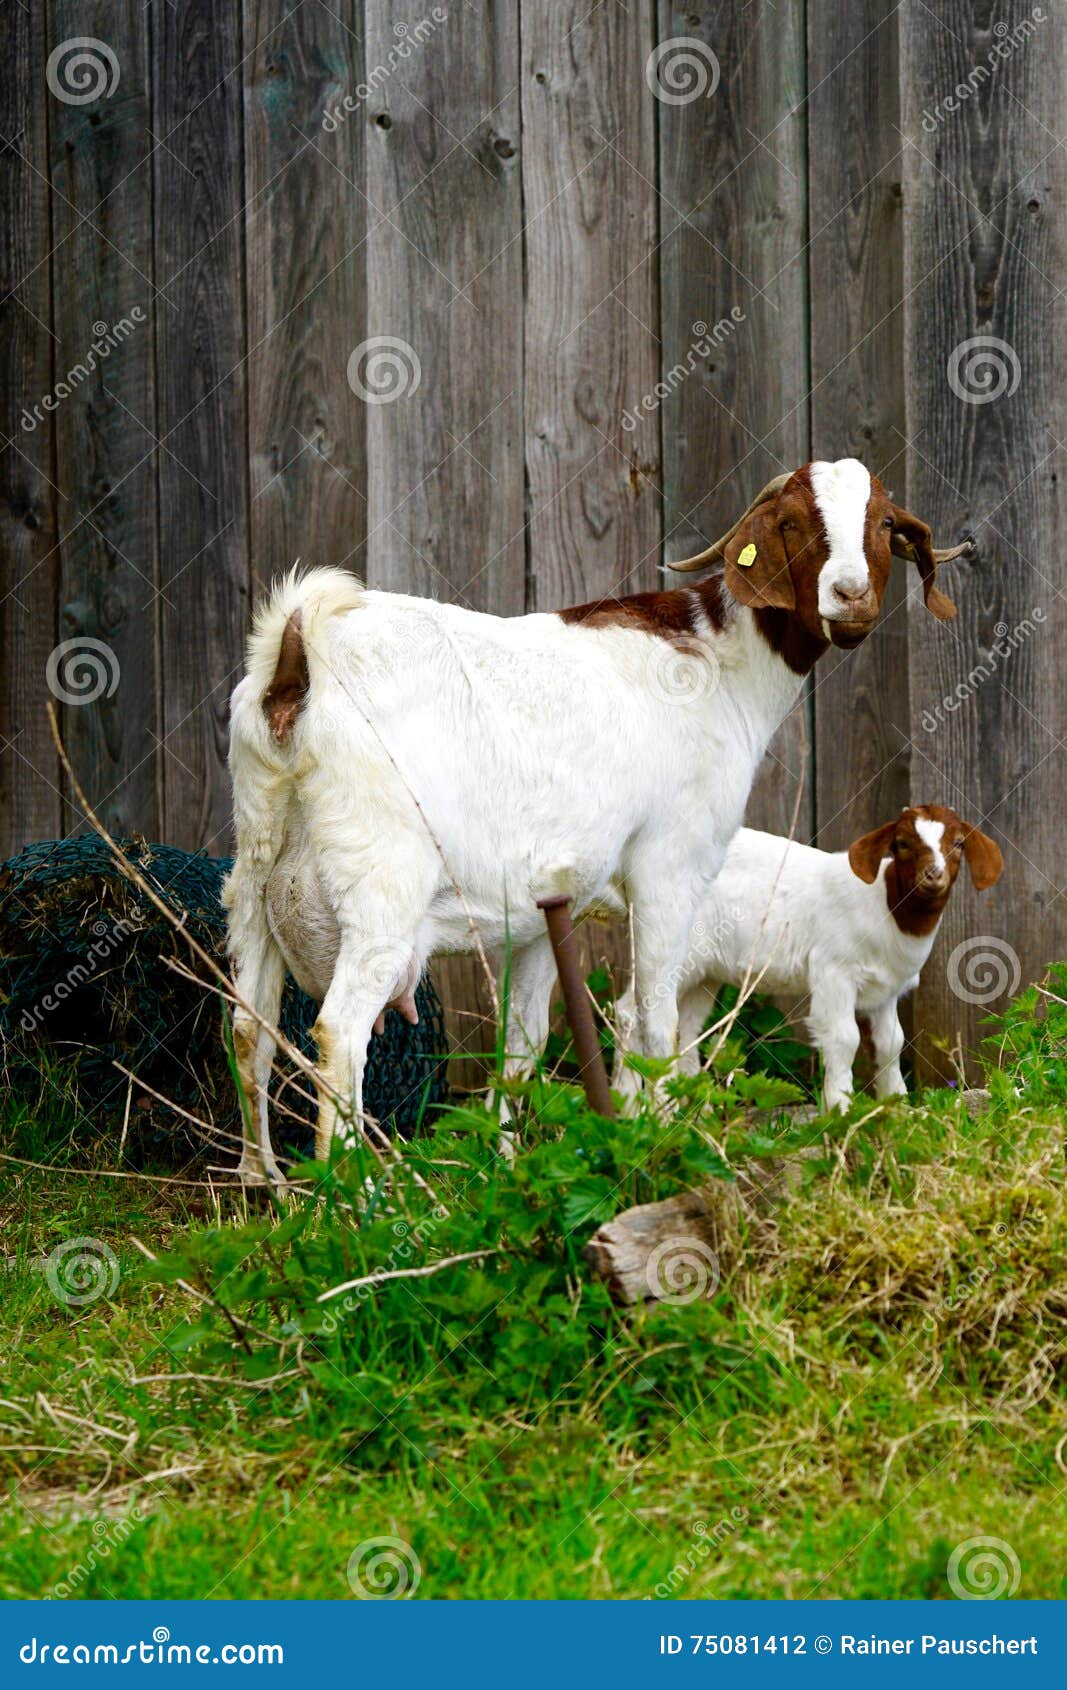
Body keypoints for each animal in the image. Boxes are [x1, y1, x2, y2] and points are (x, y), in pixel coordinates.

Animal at [615, 806, 1004, 1111]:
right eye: (903, 844)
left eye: (958, 844)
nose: (933, 875)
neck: (885, 904)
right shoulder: (834, 971)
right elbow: (845, 1038)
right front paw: (840, 1111)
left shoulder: (886, 990)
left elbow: (891, 1043)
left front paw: (897, 1107)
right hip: (672, 948)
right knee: (632, 1011)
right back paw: (631, 1109)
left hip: (705, 972)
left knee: (689, 1027)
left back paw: (697, 1111)